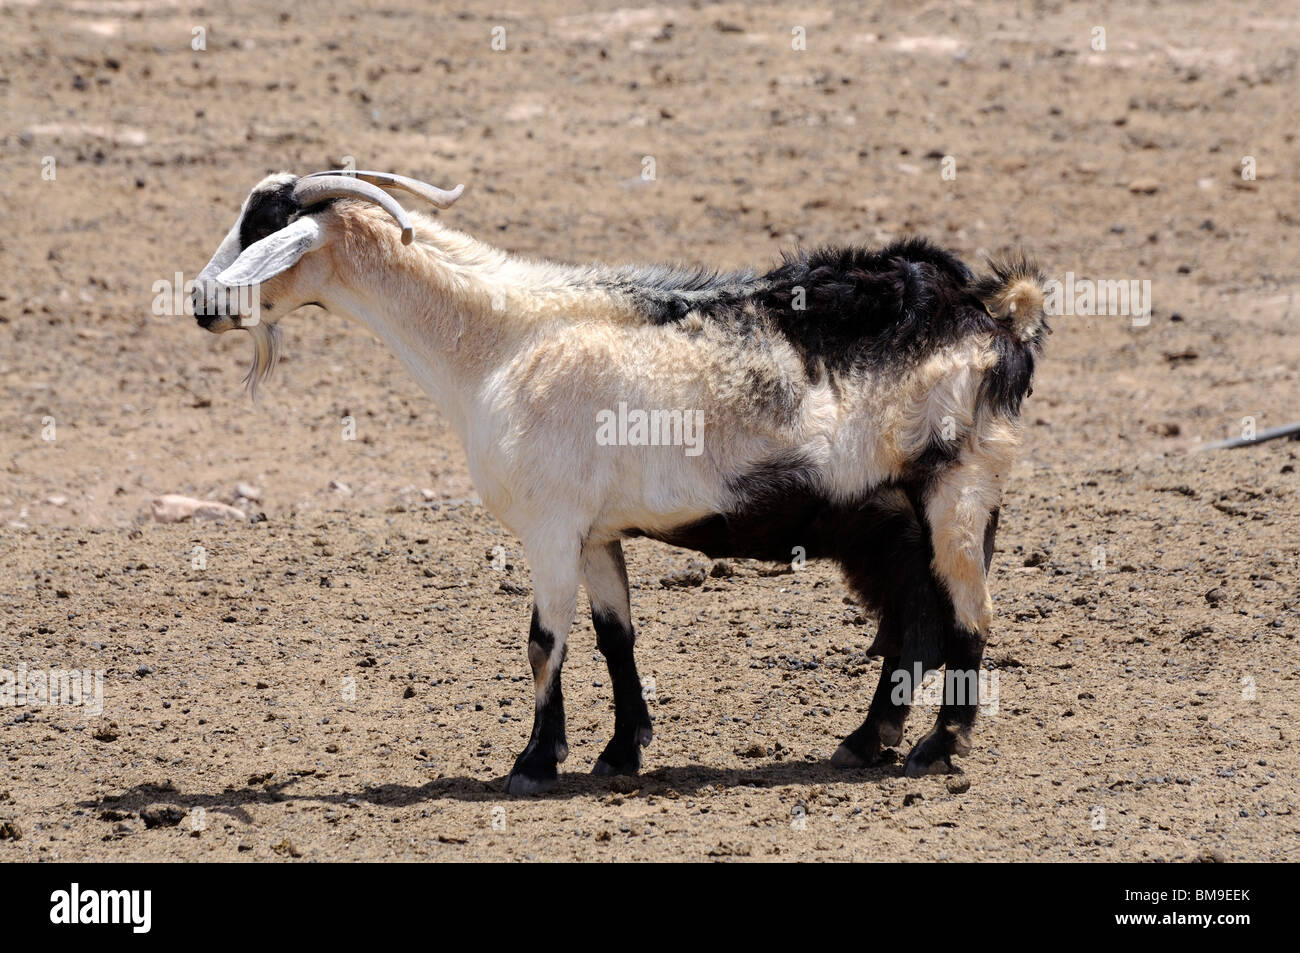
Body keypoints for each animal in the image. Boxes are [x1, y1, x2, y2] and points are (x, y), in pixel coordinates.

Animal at [192, 170, 1048, 794]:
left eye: (261, 230)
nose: (200, 302)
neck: (498, 338)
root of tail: (992, 310)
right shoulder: (595, 531)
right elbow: (615, 637)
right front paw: (619, 752)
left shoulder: (549, 526)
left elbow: (543, 641)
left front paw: (534, 763)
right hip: (889, 516)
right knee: (911, 621)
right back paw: (867, 739)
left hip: (956, 490)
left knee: (968, 616)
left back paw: (937, 747)